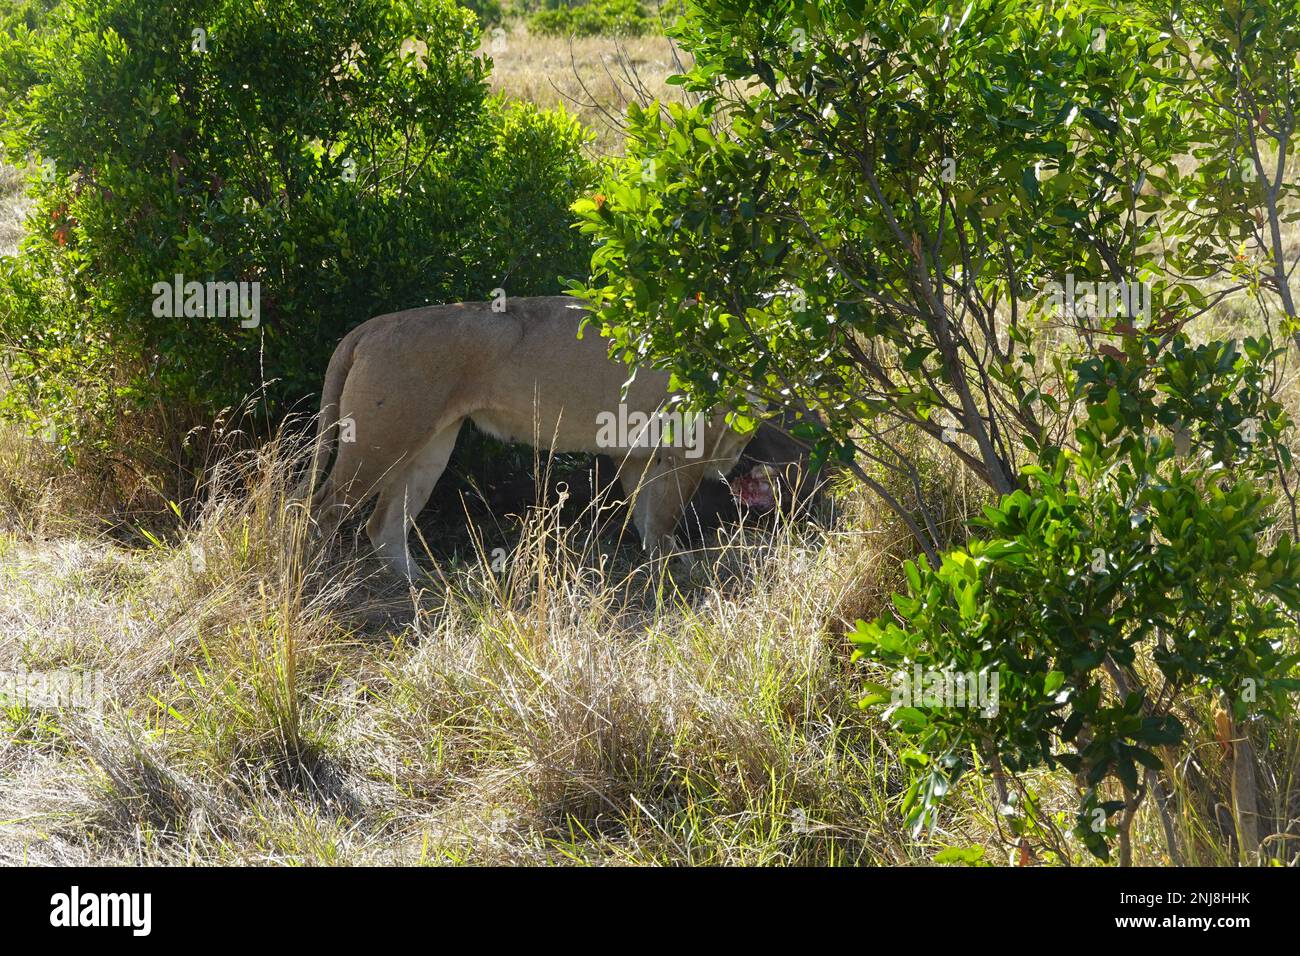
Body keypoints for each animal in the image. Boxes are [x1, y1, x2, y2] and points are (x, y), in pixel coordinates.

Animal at [302, 295, 754, 577]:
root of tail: (371, 327)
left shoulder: (637, 455)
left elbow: (646, 520)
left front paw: (665, 570)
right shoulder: (687, 450)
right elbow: (663, 522)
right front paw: (678, 580)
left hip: (428, 448)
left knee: (383, 526)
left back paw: (425, 587)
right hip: (381, 441)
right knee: (322, 510)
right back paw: (324, 577)